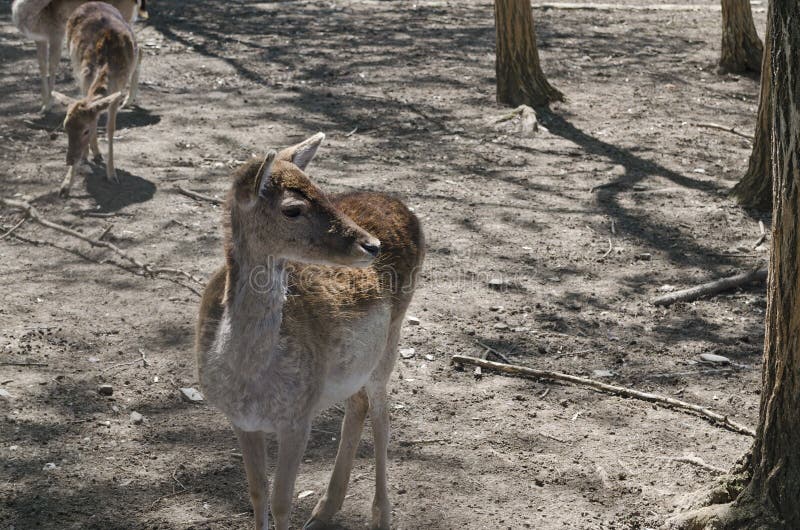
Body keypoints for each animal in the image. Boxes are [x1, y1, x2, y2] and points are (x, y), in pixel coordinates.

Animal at [11, 0, 146, 113]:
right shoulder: (40, 38)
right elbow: (42, 66)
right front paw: (43, 106)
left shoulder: (56, 34)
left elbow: (53, 65)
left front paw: (49, 104)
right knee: (138, 50)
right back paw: (127, 102)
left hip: (126, 19)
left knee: (138, 50)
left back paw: (127, 101)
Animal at [54, 1, 141, 197]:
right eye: (65, 127)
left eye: (85, 131)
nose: (69, 160)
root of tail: (92, 3)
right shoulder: (85, 82)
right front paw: (65, 185)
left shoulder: (116, 95)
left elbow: (110, 129)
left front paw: (112, 174)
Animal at [195, 132, 425, 530]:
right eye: (292, 208)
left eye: (321, 189)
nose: (371, 244)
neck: (249, 380)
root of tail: (405, 209)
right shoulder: (240, 420)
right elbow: (257, 493)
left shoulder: (299, 417)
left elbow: (282, 500)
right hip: (353, 364)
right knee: (358, 403)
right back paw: (324, 510)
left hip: (389, 342)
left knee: (382, 416)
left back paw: (380, 515)